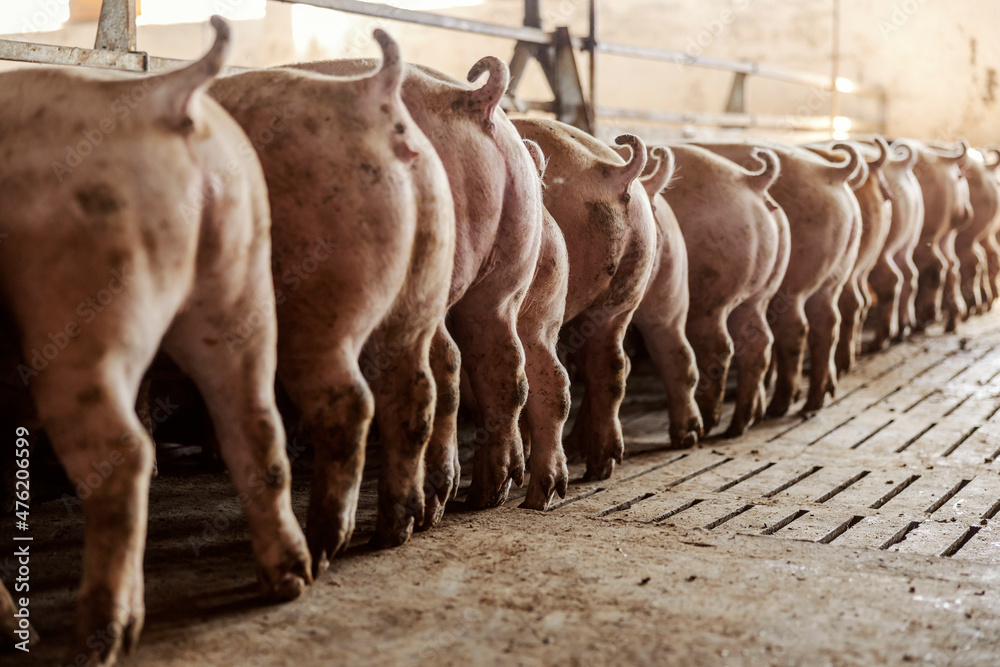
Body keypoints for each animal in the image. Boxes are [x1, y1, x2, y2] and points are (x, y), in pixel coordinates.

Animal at [0, 17, 310, 664]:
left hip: (84, 304)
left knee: (125, 454)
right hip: (242, 275)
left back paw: (98, 642)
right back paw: (290, 579)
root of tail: (170, 96)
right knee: (257, 423)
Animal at [209, 31, 456, 570]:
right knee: (417, 390)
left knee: (350, 402)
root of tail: (375, 95)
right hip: (419, 296)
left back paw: (324, 546)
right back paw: (395, 530)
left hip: (319, 308)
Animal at [652, 145, 787, 436]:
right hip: (758, 296)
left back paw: (708, 424)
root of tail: (752, 182)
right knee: (759, 340)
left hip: (710, 299)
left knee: (717, 346)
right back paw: (740, 425)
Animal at [868, 140, 924, 348]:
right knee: (910, 273)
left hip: (881, 250)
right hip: (907, 241)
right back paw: (903, 330)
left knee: (889, 279)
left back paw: (879, 342)